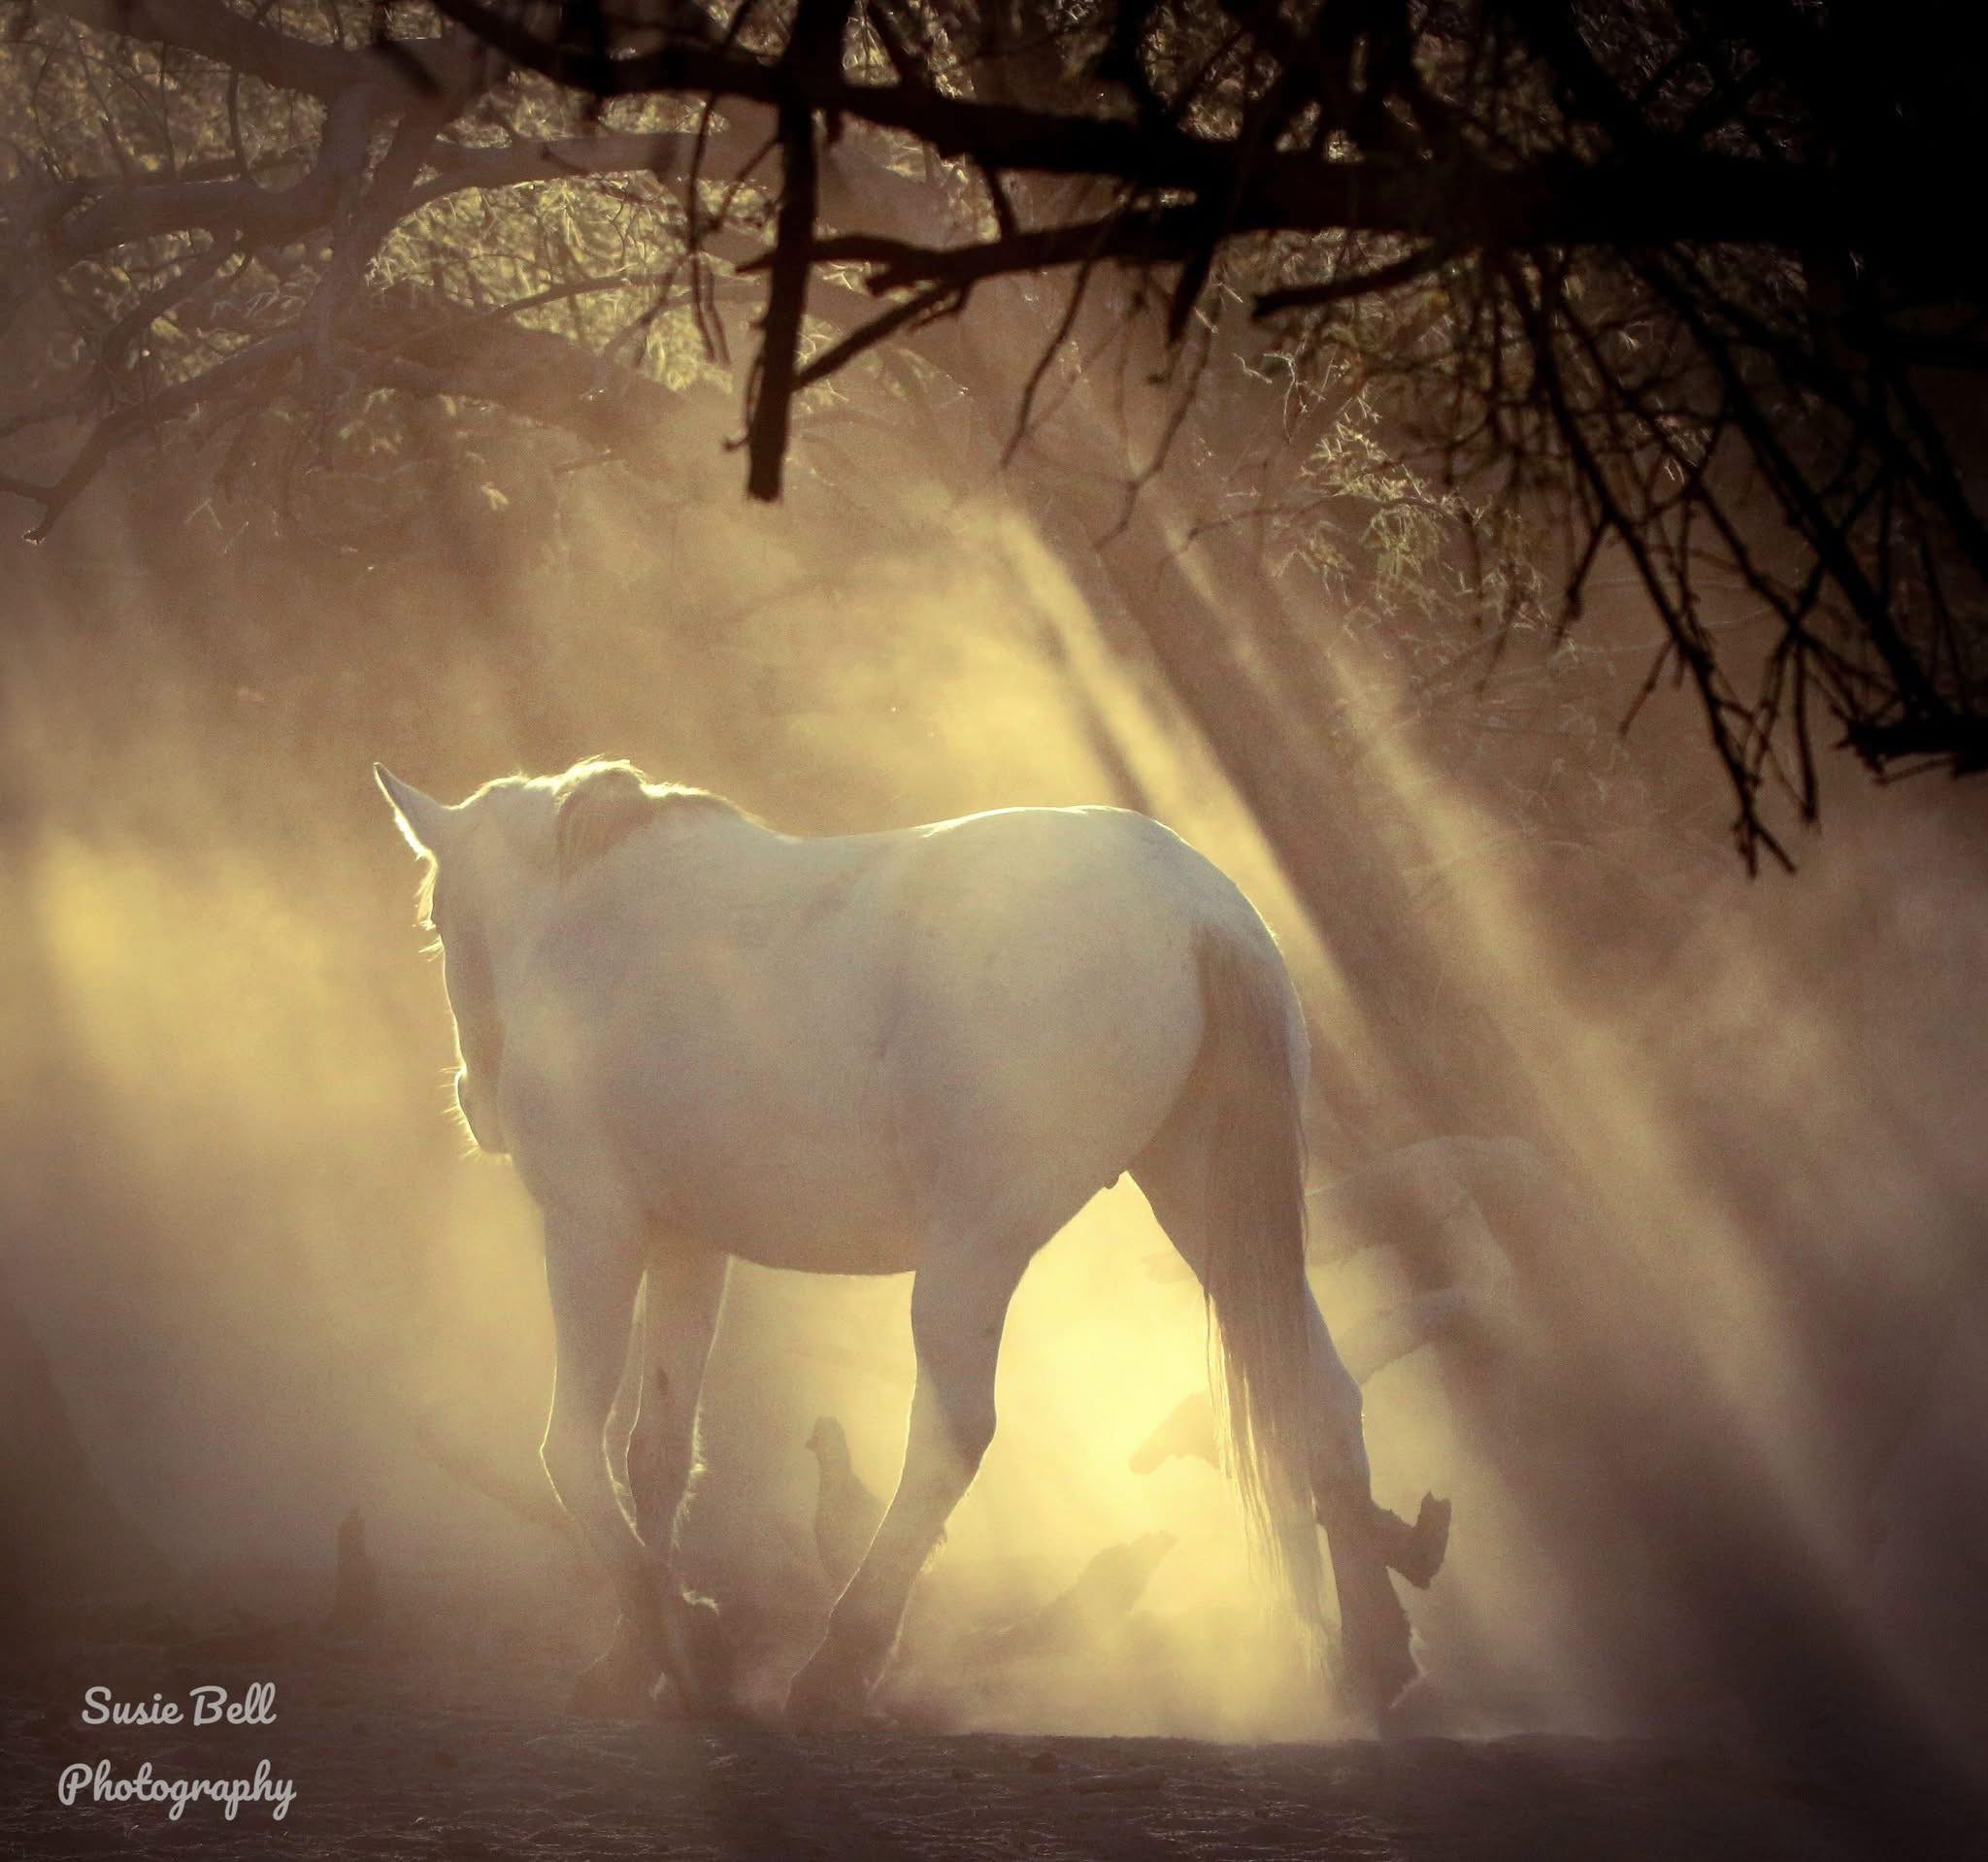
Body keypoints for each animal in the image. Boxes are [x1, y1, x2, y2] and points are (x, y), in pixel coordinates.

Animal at [374, 756, 1449, 1726]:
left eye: (435, 924)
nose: (473, 1102)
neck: (585, 922)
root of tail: (1196, 908)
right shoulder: (689, 1245)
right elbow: (659, 1452)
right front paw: (642, 1652)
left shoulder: (590, 1230)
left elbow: (569, 1446)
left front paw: (673, 1642)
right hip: (1200, 1202)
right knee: (1317, 1397)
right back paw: (1376, 1654)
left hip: (975, 1249)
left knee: (950, 1434)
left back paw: (841, 1661)